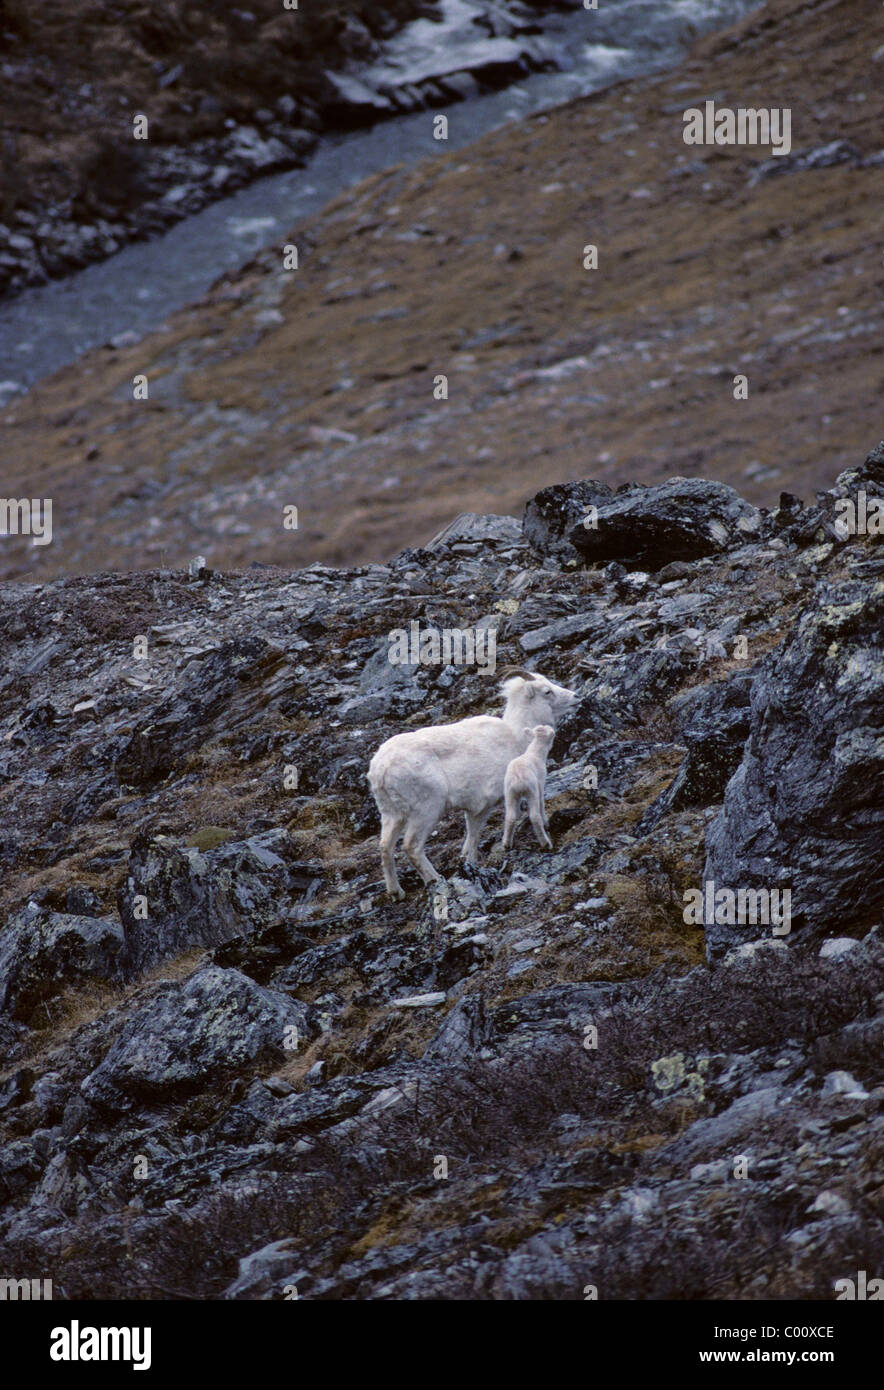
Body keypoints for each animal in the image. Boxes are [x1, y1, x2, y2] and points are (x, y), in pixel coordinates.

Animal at [501, 723, 555, 852]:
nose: (552, 729)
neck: (536, 752)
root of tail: (518, 778)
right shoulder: (540, 784)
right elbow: (542, 803)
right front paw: (546, 823)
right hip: (531, 790)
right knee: (535, 817)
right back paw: (546, 843)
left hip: (509, 793)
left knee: (510, 817)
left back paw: (506, 844)